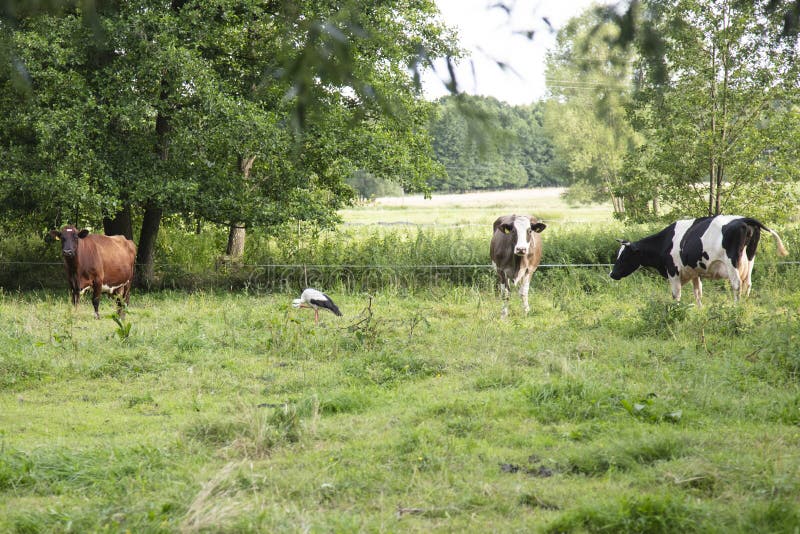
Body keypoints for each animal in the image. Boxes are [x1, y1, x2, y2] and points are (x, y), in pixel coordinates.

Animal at [610, 215, 788, 306]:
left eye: (624, 256)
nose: (612, 274)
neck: (665, 242)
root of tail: (745, 219)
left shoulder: (673, 271)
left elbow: (676, 294)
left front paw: (676, 309)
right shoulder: (695, 271)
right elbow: (698, 292)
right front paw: (699, 309)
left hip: (732, 262)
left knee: (736, 284)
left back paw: (736, 307)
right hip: (750, 259)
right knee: (748, 283)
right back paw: (745, 303)